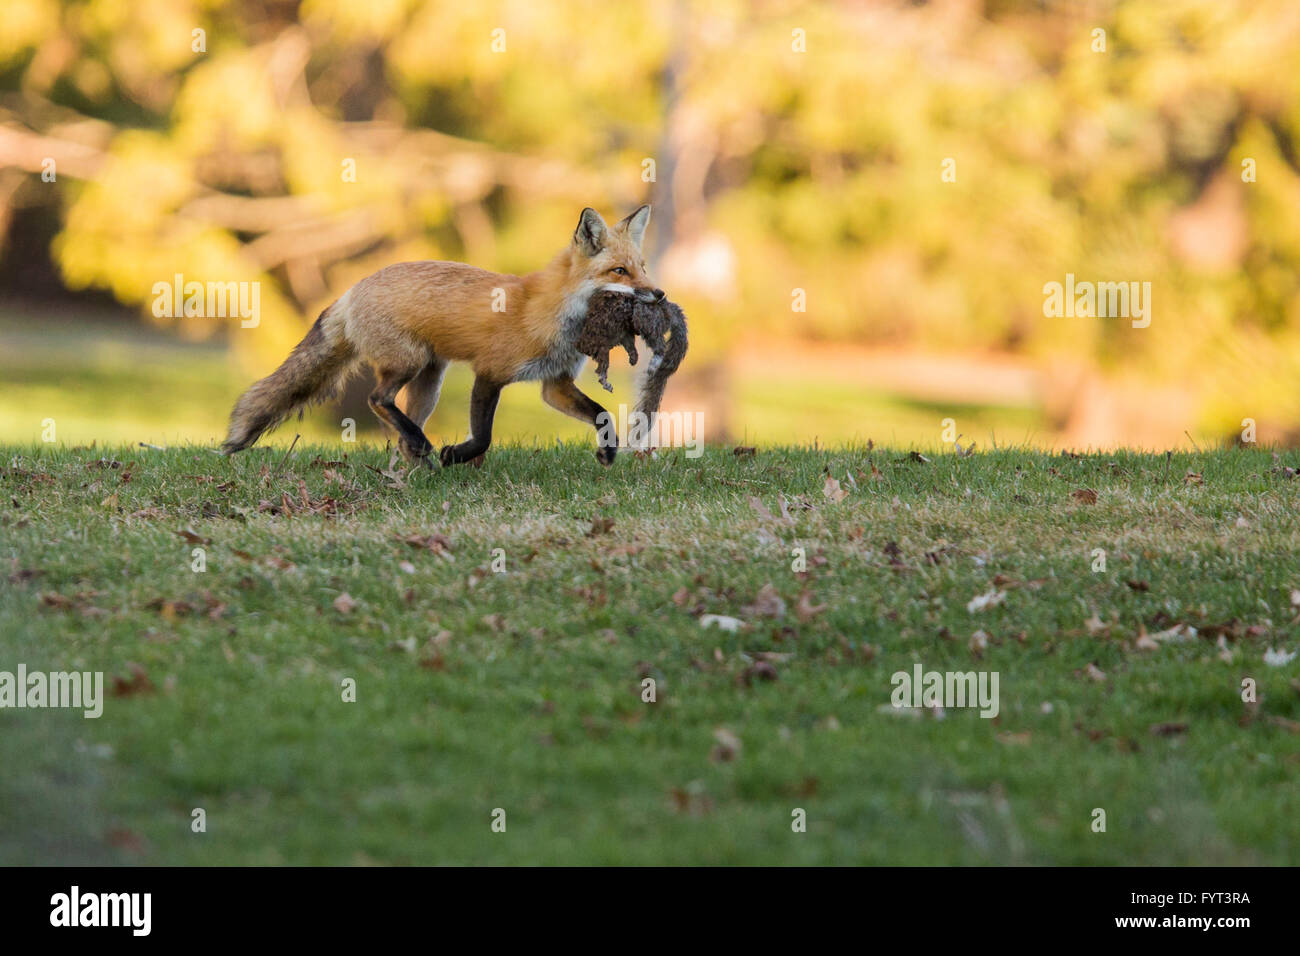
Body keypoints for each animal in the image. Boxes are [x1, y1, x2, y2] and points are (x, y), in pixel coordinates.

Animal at [221, 205, 664, 467]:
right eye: (620, 272)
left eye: (642, 267)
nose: (660, 294)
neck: (555, 311)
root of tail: (351, 290)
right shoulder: (490, 372)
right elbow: (483, 436)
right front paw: (458, 455)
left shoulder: (554, 385)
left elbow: (602, 413)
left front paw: (608, 449)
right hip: (410, 362)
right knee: (377, 399)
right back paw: (423, 452)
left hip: (430, 381)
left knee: (397, 426)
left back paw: (413, 466)